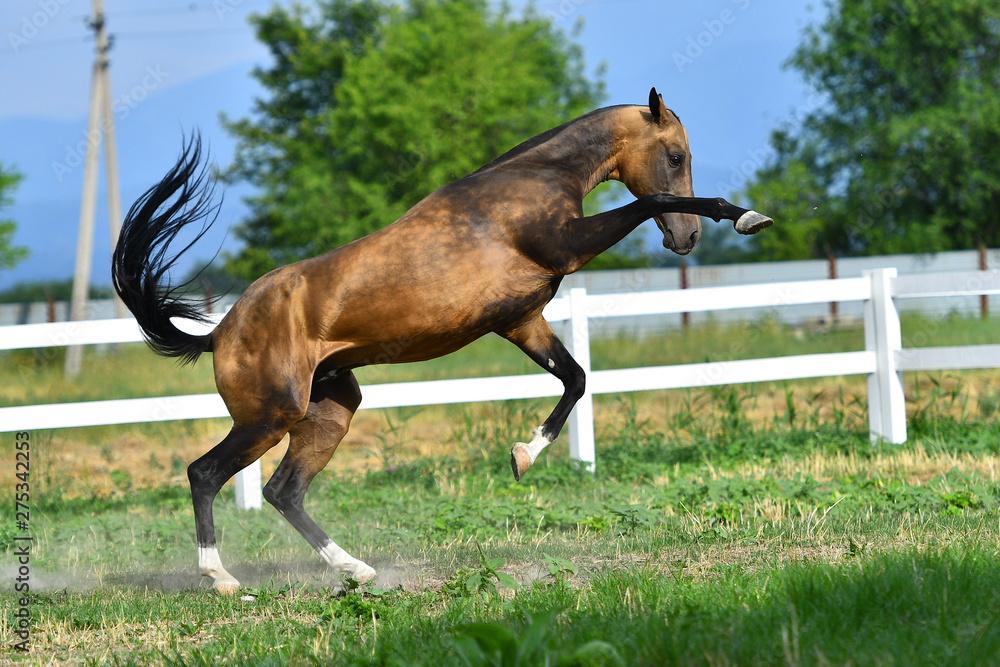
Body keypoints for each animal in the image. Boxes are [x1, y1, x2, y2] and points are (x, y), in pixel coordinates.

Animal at [112, 87, 772, 594]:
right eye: (675, 155)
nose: (683, 241)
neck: (532, 180)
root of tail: (222, 330)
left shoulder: (522, 319)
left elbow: (576, 379)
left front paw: (523, 455)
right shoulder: (566, 246)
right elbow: (649, 200)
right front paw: (745, 216)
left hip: (328, 413)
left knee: (283, 492)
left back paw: (357, 570)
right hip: (270, 415)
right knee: (205, 473)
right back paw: (222, 580)